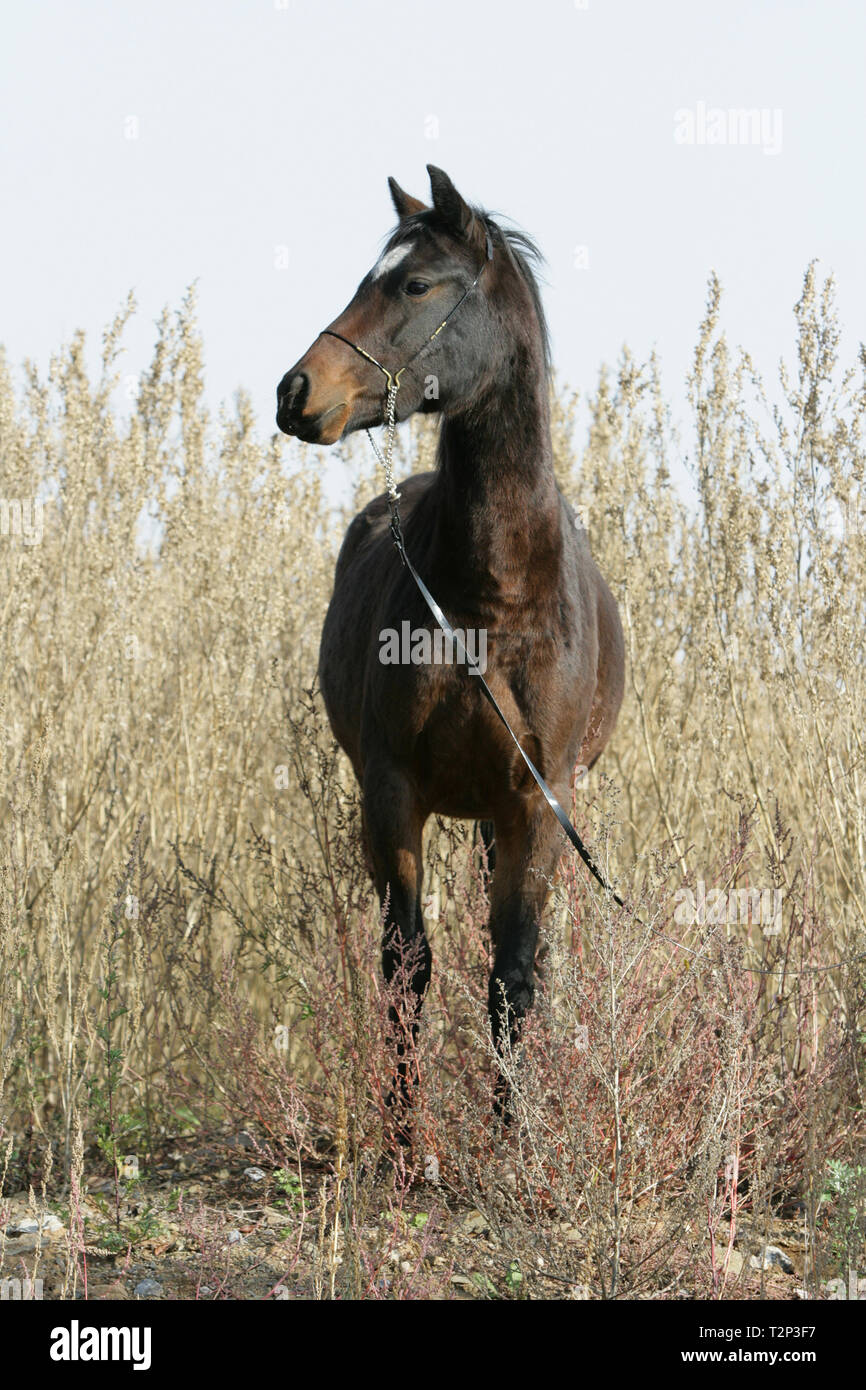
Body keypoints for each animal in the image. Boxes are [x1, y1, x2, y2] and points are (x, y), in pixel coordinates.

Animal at [276, 165, 625, 1123]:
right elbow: (408, 966)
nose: (295, 392)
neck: (491, 601)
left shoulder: (538, 805)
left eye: (416, 284)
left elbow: (514, 973)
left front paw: (516, 1132)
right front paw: (405, 1139)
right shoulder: (393, 795)